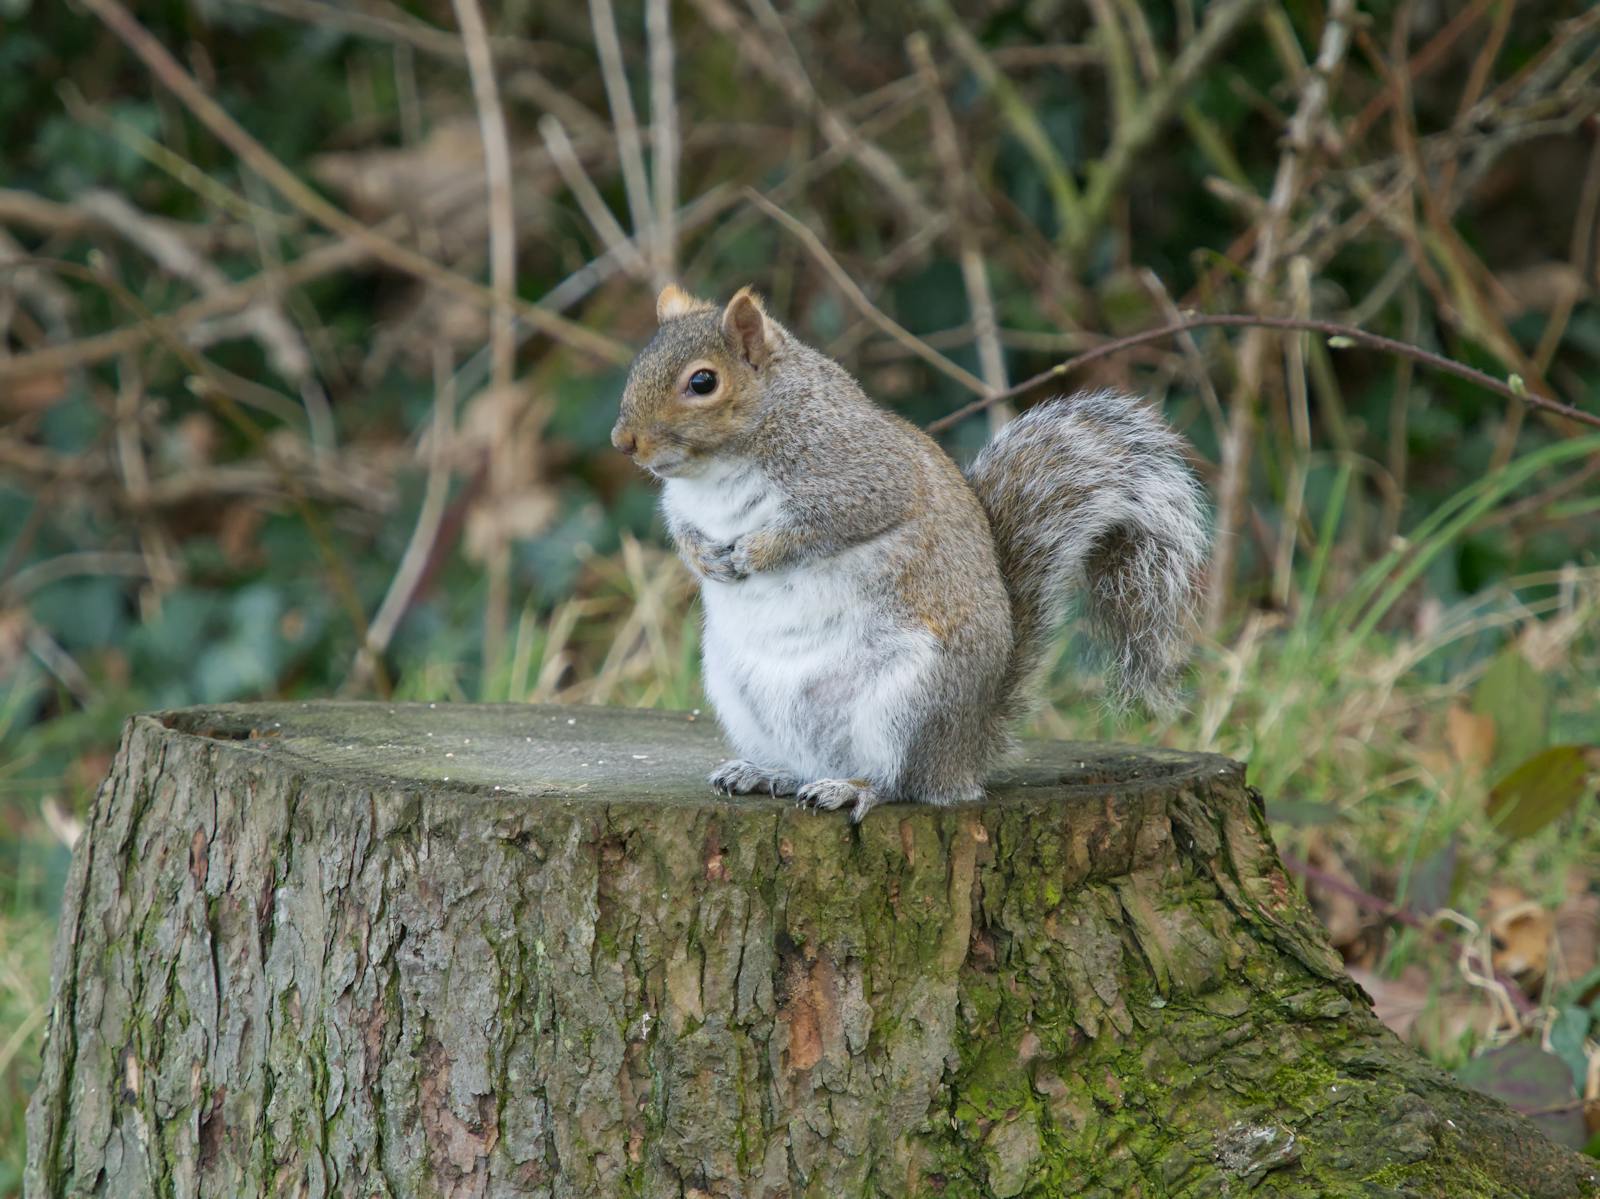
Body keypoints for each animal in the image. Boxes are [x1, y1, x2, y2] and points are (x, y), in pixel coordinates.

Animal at [612, 284, 1210, 822]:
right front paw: (706, 560)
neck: (719, 469)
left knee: (905, 782)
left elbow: (822, 526)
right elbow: (683, 533)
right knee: (808, 763)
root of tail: (967, 754)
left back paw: (853, 788)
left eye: (703, 381)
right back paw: (766, 773)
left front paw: (756, 553)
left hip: (911, 703)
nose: (623, 443)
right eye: (638, 364)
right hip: (738, 693)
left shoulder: (865, 478)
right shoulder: (682, 505)